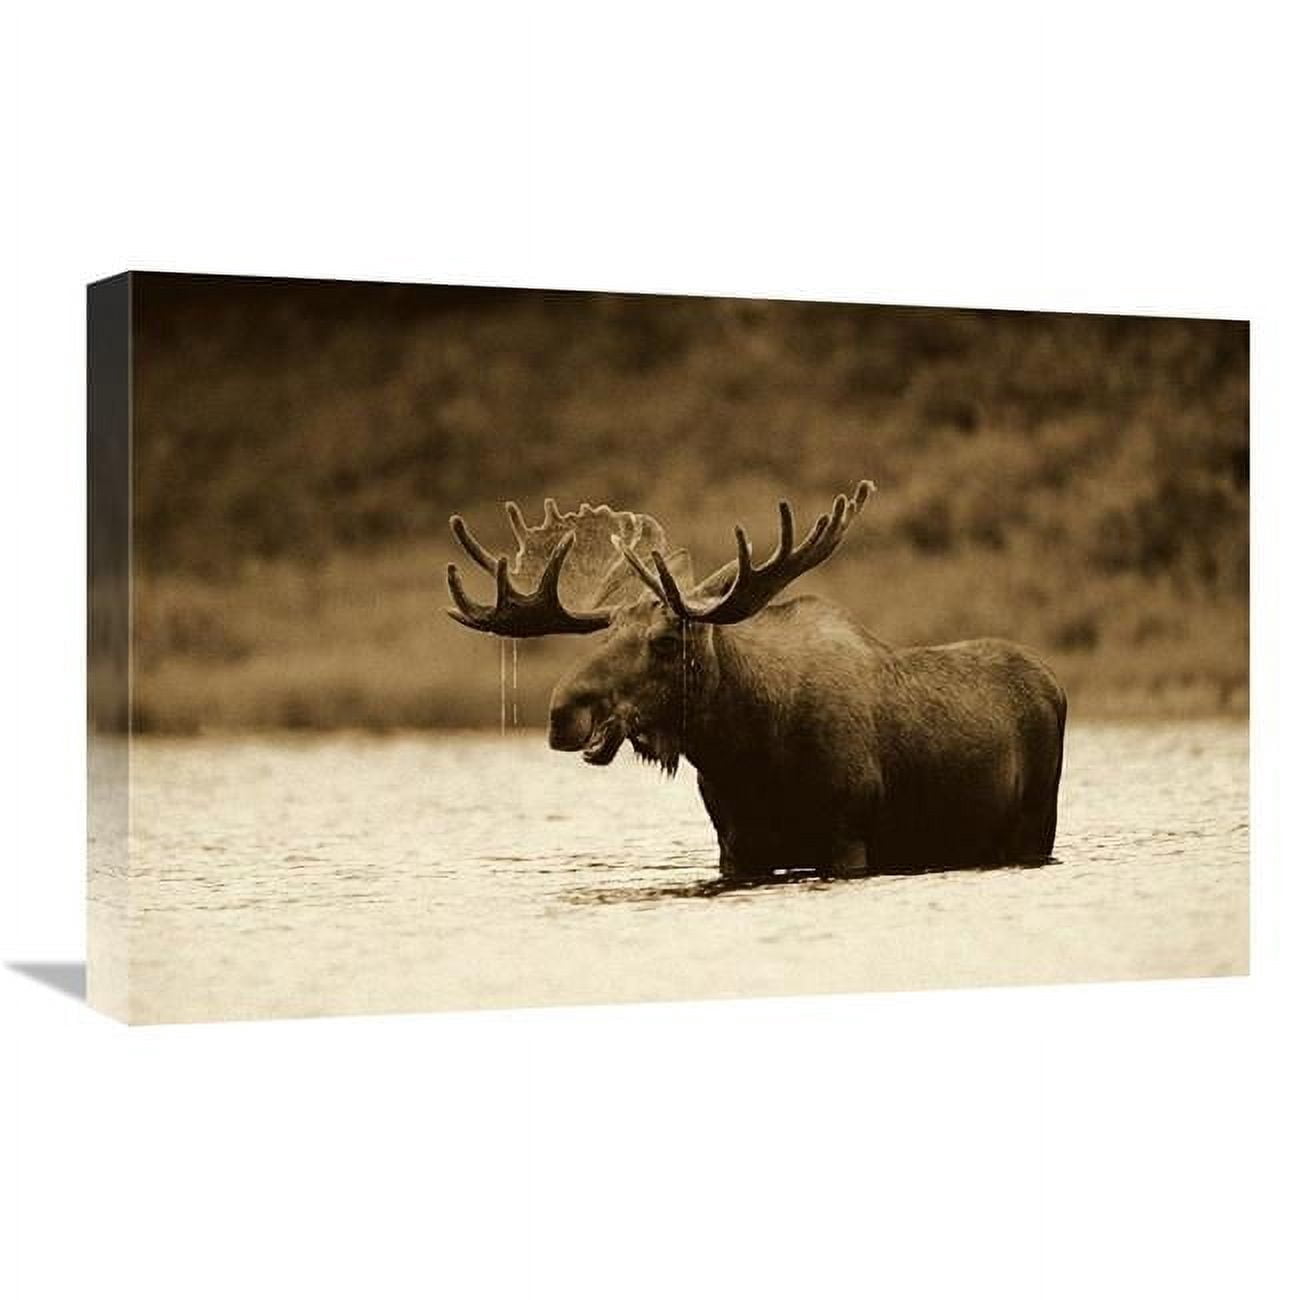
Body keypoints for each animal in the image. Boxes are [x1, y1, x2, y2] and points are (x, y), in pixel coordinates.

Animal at [445, 481, 1066, 882]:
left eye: (667, 641)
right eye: (606, 633)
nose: (563, 712)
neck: (746, 753)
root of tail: (1055, 684)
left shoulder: (848, 837)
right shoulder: (736, 845)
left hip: (1036, 824)